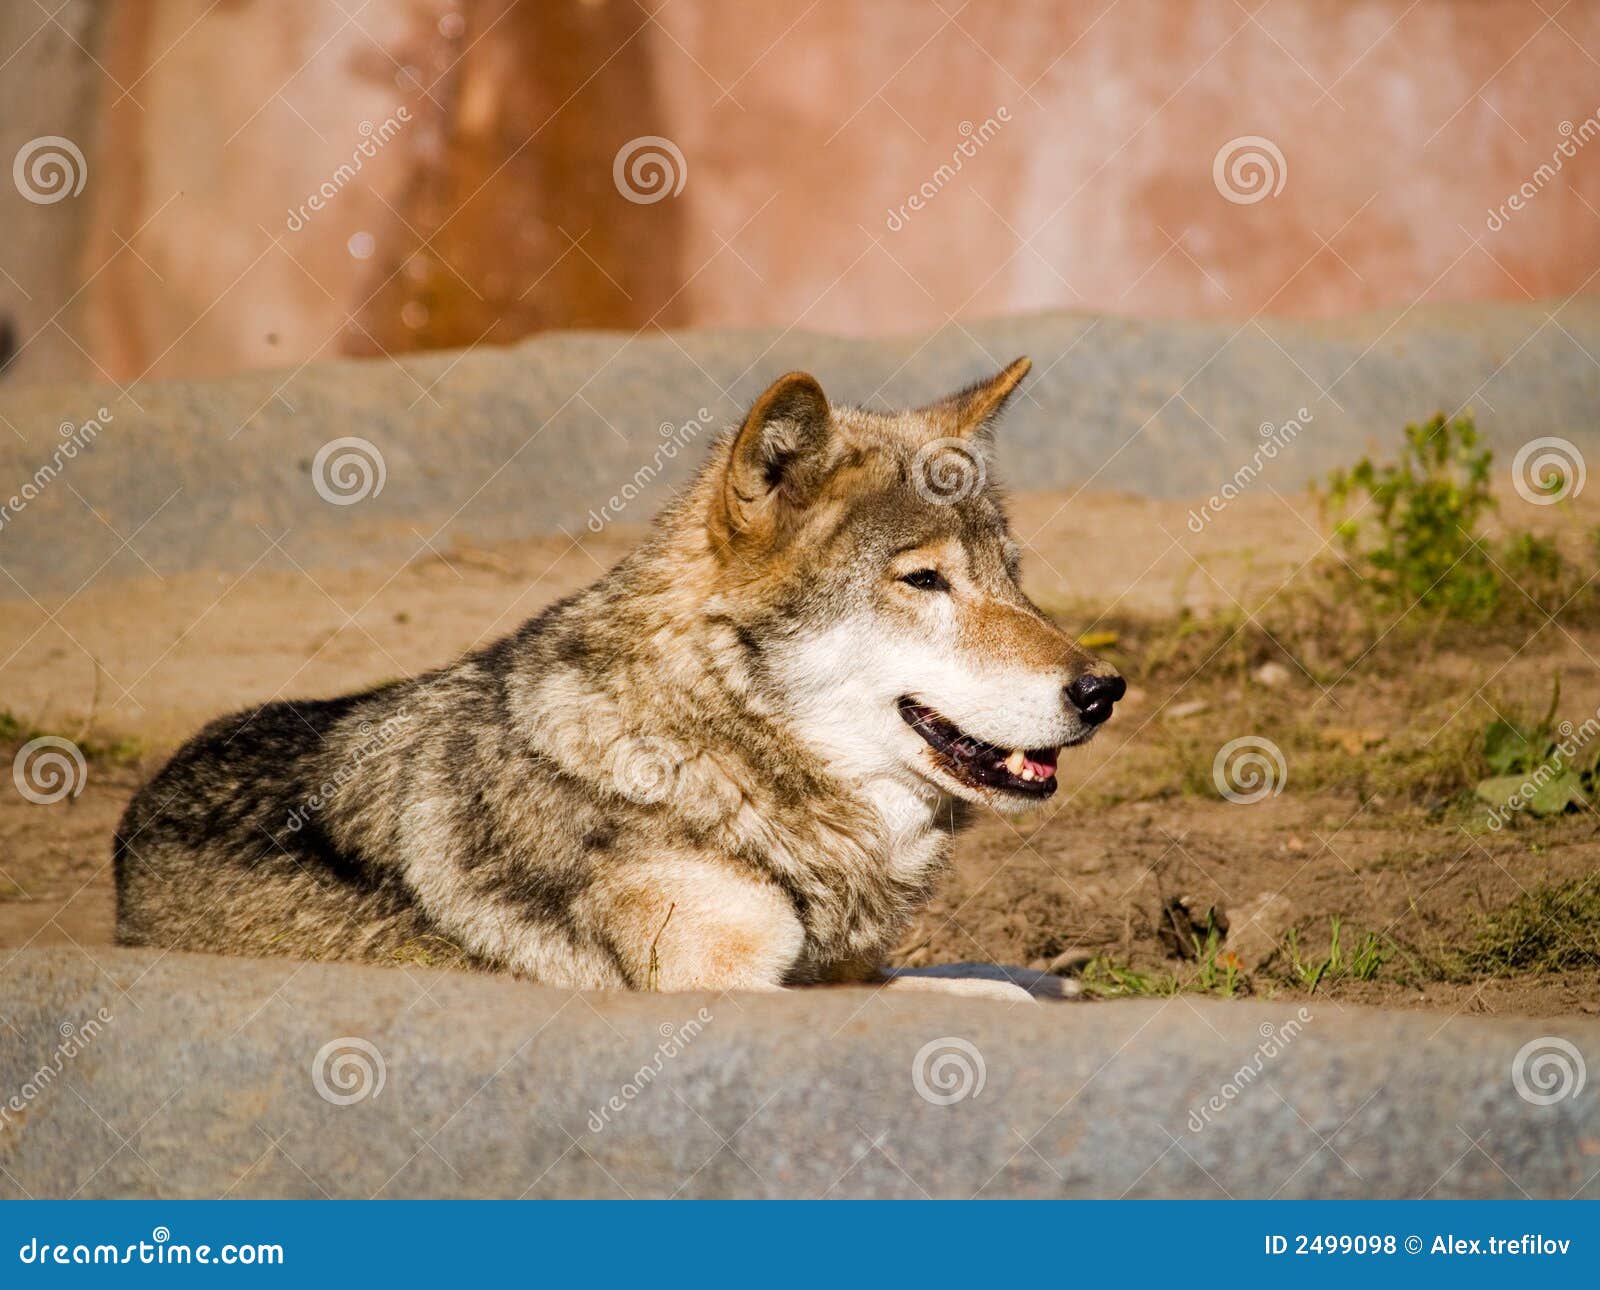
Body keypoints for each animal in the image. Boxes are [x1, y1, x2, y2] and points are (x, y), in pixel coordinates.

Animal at [114, 358, 1124, 994]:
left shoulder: (847, 968)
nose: (1103, 691)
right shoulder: (720, 985)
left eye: (1012, 577)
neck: (719, 762)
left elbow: (983, 983)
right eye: (924, 581)